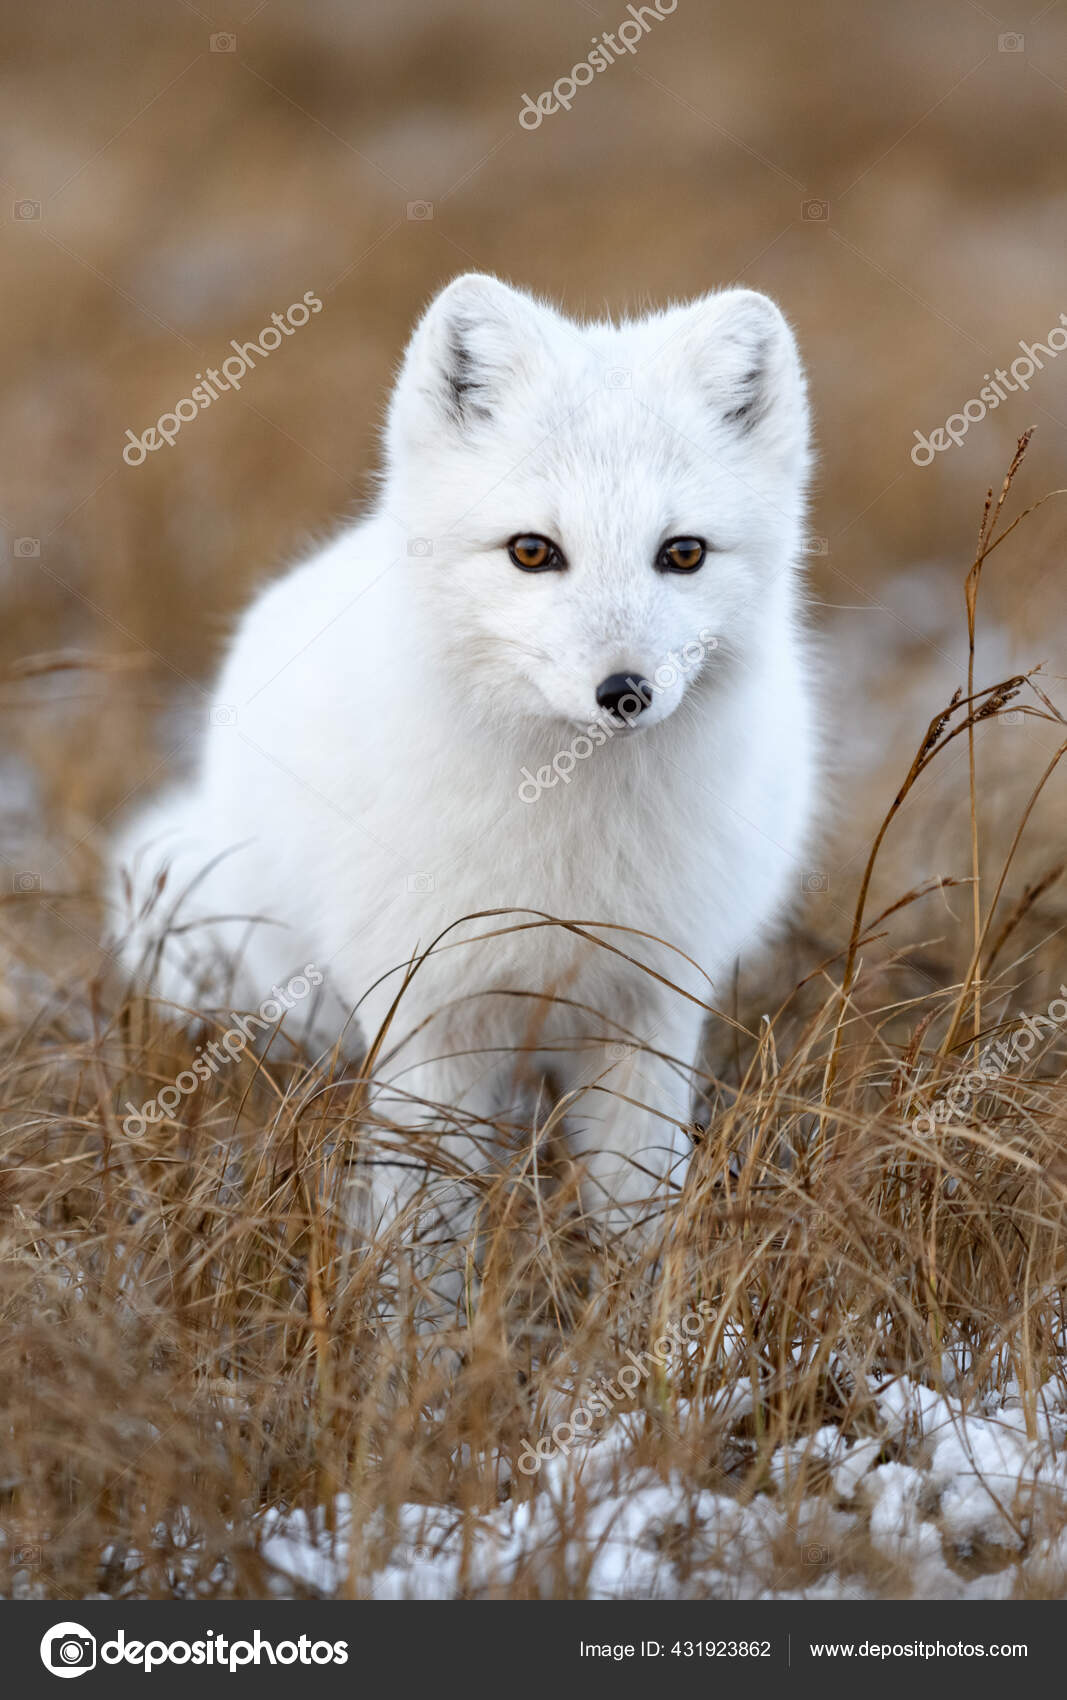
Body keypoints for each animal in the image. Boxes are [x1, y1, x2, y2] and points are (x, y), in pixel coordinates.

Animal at [110, 272, 817, 1242]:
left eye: (682, 554)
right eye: (532, 552)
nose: (624, 691)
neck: (565, 837)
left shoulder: (652, 1007)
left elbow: (637, 1208)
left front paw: (640, 1290)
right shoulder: (427, 1016)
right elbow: (426, 1228)